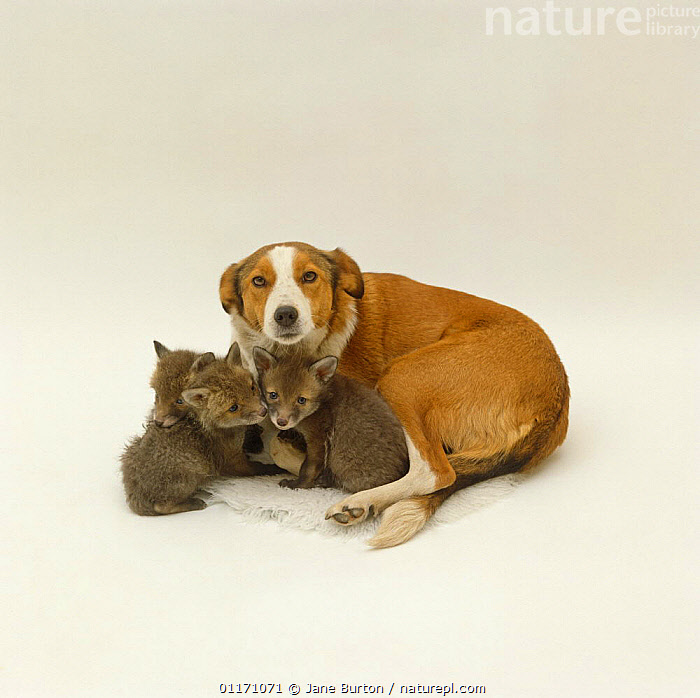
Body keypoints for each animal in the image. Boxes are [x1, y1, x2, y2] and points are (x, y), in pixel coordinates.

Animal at [120, 342, 270, 516]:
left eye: (252, 388)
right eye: (233, 407)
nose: (263, 411)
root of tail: (134, 494)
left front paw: (255, 439)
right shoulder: (231, 460)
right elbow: (258, 468)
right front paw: (275, 470)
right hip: (192, 473)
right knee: (161, 506)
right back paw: (194, 503)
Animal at [252, 347, 409, 521]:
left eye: (301, 400)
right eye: (273, 395)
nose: (282, 421)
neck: (322, 402)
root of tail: (403, 470)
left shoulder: (318, 439)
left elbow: (307, 469)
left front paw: (298, 485)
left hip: (341, 460)